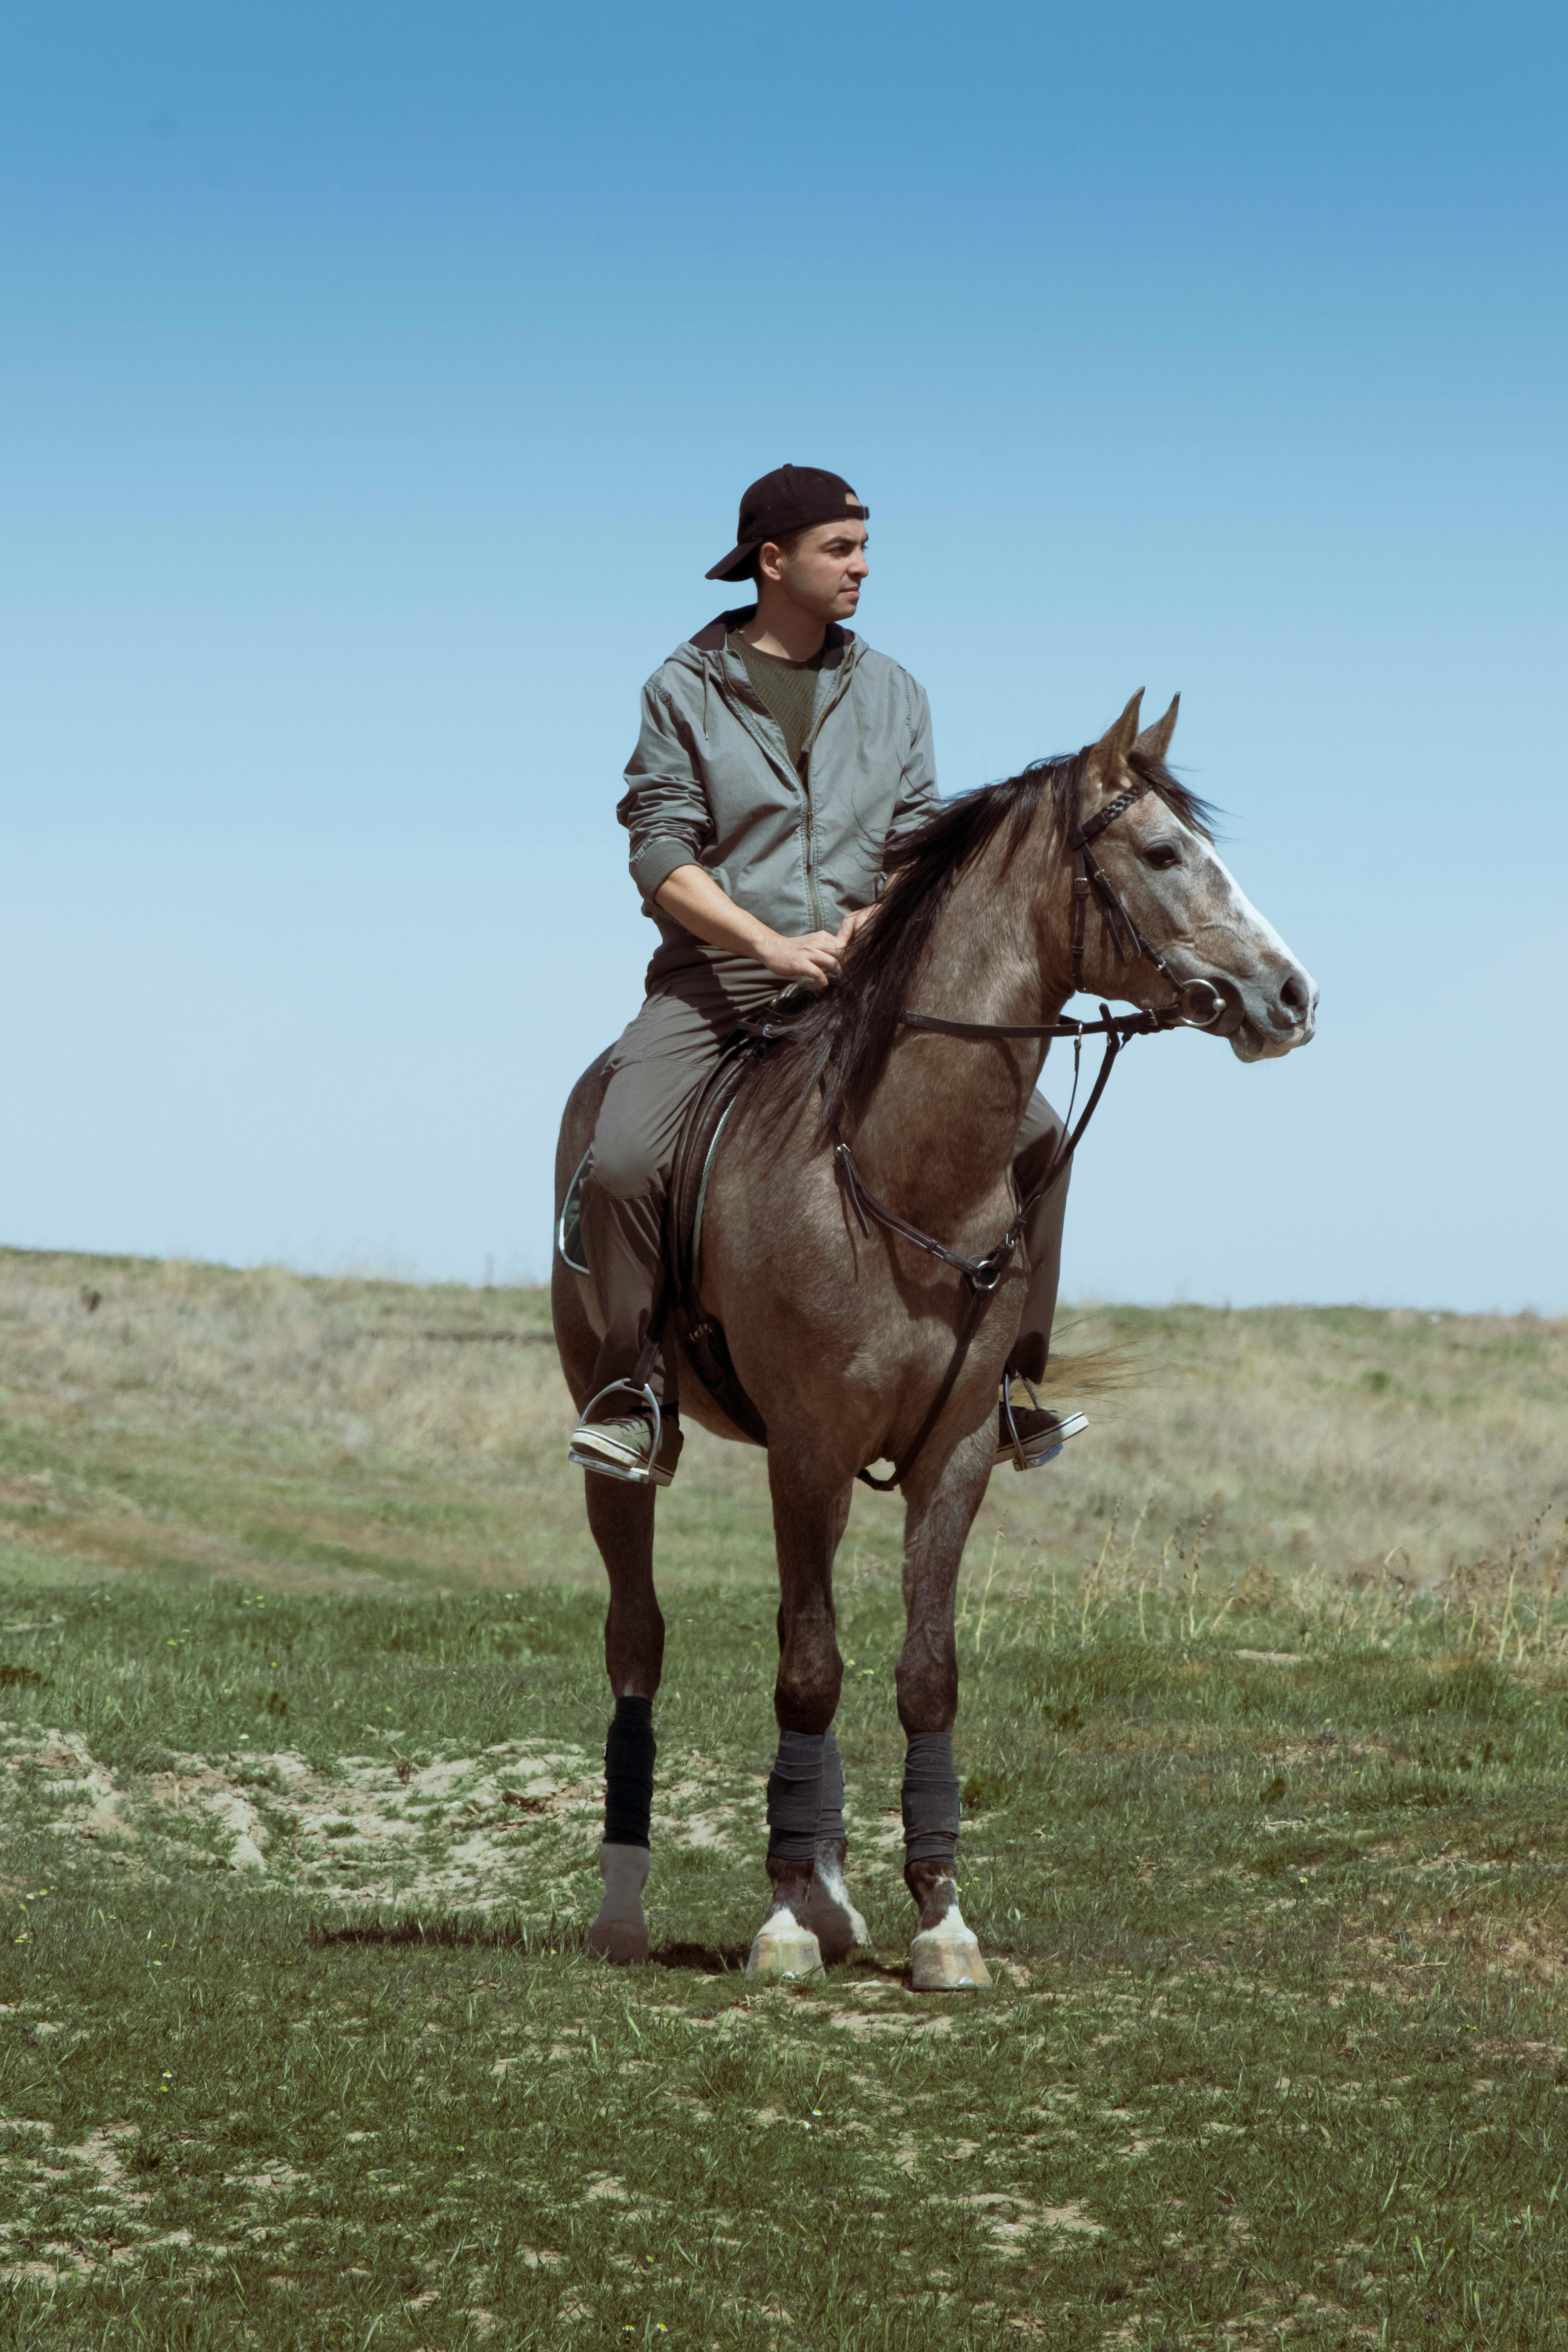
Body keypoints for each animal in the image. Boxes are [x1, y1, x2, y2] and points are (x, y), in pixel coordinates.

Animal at [551, 690, 1317, 1986]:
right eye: (1164, 854)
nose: (1292, 997)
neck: (904, 1166)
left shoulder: (951, 1454)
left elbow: (919, 1674)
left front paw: (934, 1917)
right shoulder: (810, 1448)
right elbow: (810, 1671)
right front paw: (778, 1925)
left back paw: (829, 1893)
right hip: (630, 1451)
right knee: (637, 1636)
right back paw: (626, 1910)